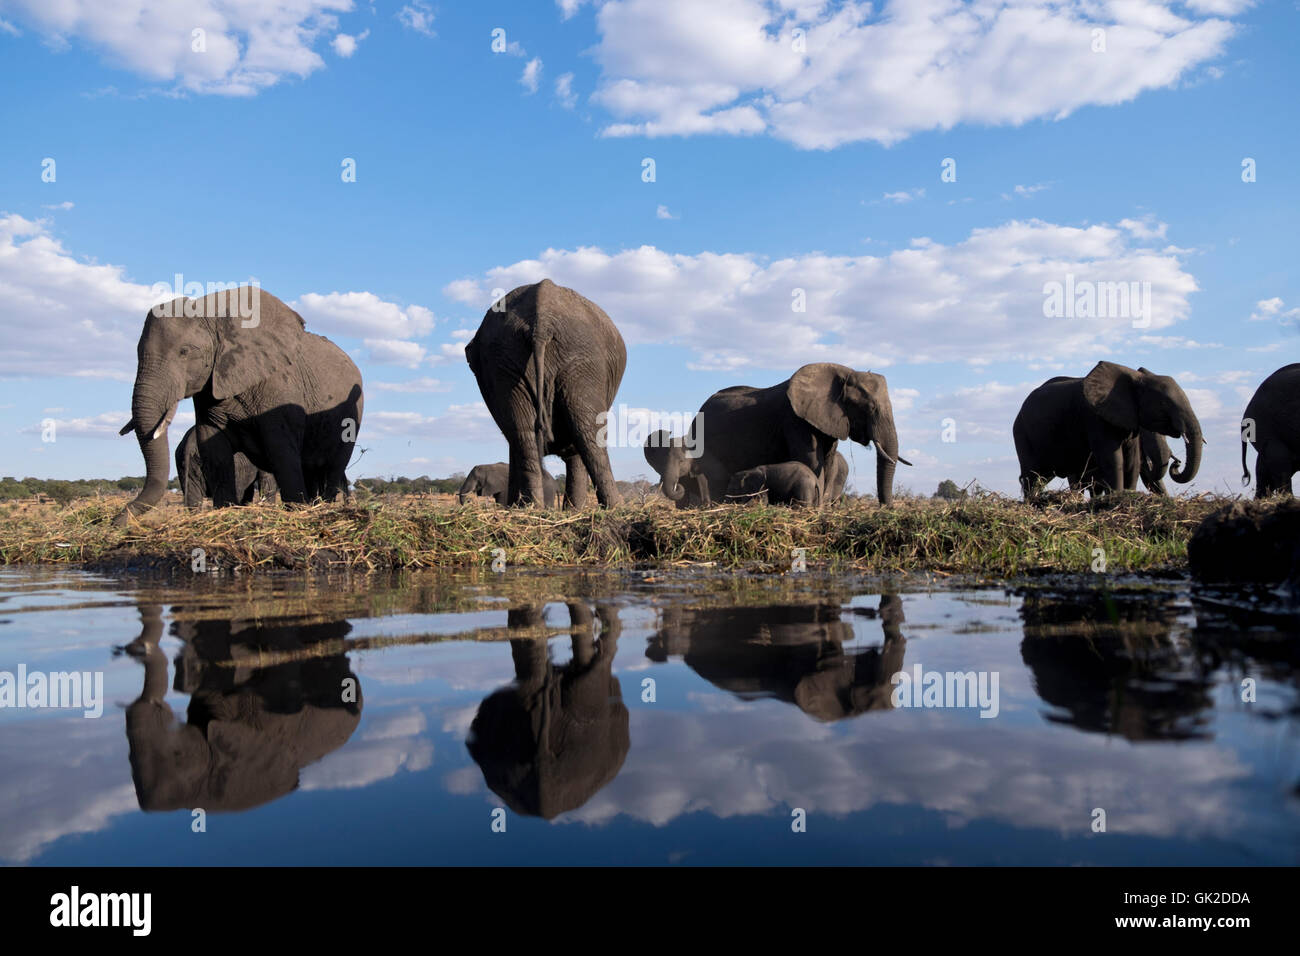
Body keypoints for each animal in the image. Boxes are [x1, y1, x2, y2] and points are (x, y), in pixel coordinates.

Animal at [115, 287, 363, 525]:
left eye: (184, 351)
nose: (114, 521)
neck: (212, 314)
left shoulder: (278, 387)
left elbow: (279, 448)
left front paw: (295, 512)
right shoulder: (209, 389)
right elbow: (214, 447)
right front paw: (224, 510)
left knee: (333, 465)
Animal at [465, 280, 625, 508]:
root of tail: (542, 321)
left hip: (510, 360)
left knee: (529, 434)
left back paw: (533, 507)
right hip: (578, 359)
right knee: (586, 433)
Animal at [643, 363, 910, 507]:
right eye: (870, 408)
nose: (887, 509)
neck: (844, 371)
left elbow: (829, 461)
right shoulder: (794, 420)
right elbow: (811, 460)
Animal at [1013, 363, 1202, 498]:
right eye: (1163, 404)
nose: (1177, 463)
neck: (1135, 378)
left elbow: (1132, 460)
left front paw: (1129, 495)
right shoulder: (1095, 419)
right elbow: (1113, 459)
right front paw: (1116, 498)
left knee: (1042, 478)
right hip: (1022, 433)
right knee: (1032, 476)